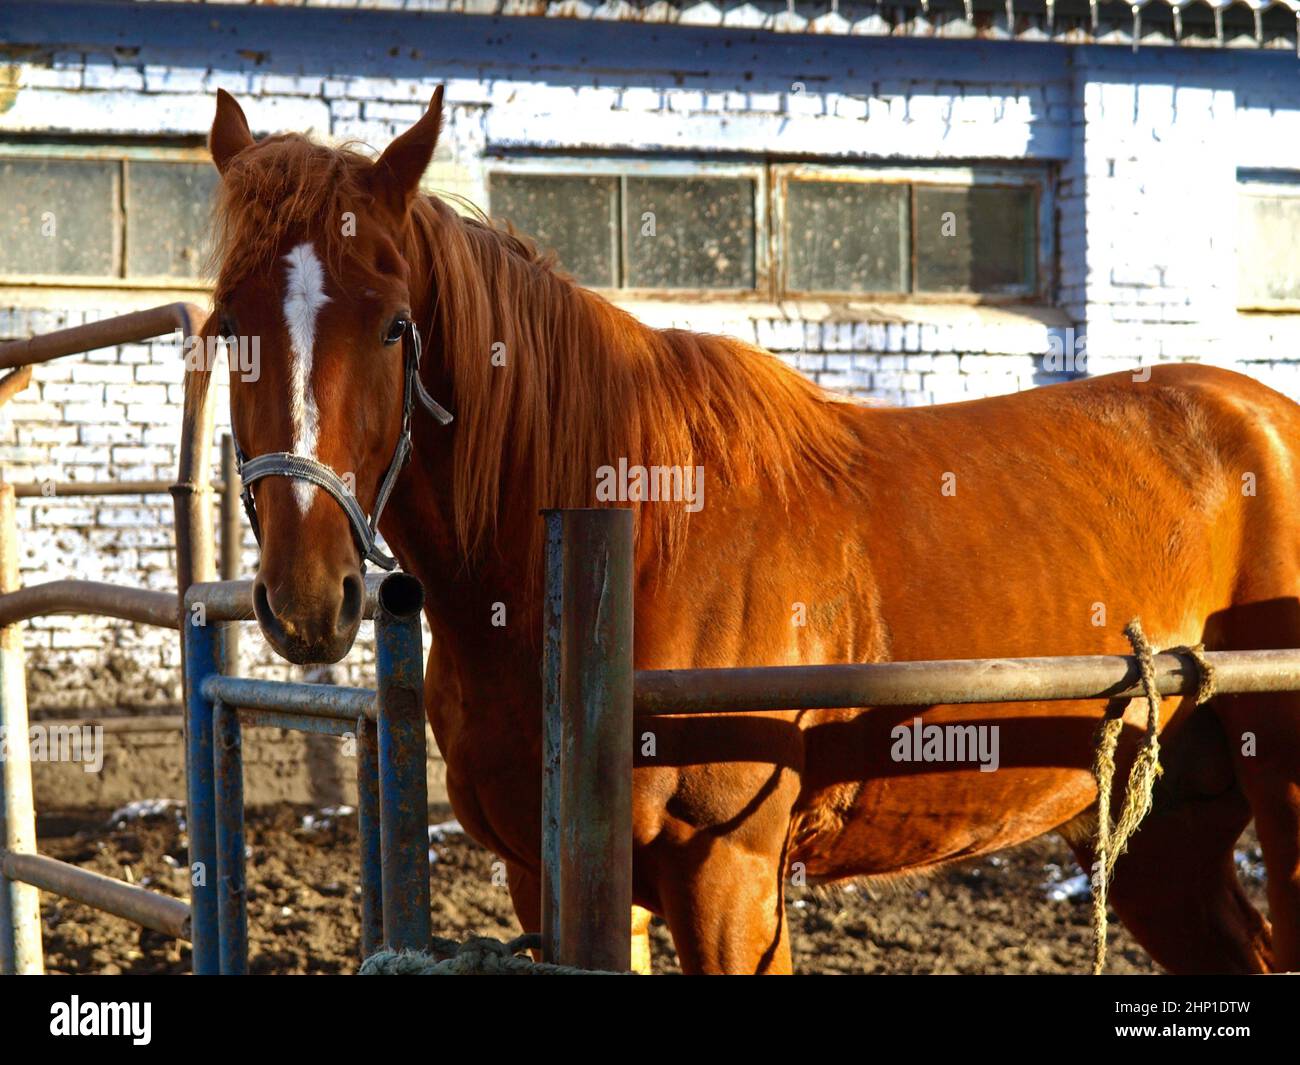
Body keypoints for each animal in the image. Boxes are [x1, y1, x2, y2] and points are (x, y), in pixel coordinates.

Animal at [199, 86, 1300, 974]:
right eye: (224, 328)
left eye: (394, 325)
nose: (307, 597)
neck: (614, 548)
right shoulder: (546, 879)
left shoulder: (726, 875)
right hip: (1163, 841)